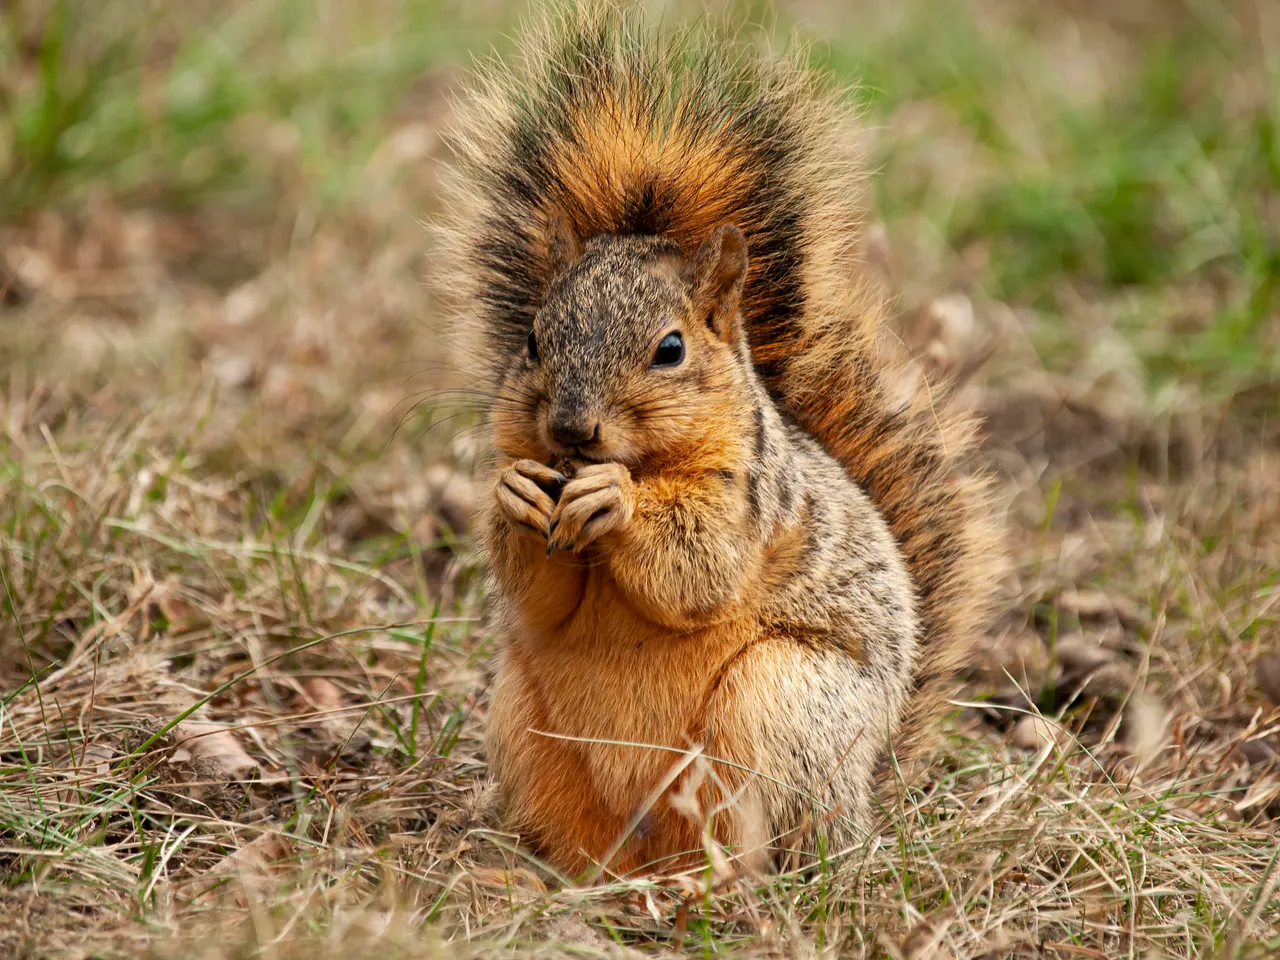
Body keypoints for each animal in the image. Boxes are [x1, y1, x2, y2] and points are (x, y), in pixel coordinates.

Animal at [435, 3, 1002, 877]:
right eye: (531, 339)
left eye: (671, 349)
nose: (569, 429)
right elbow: (538, 593)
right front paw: (515, 495)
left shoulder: (749, 496)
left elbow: (698, 566)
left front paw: (617, 498)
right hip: (523, 726)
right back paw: (539, 874)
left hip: (778, 707)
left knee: (757, 843)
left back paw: (716, 884)